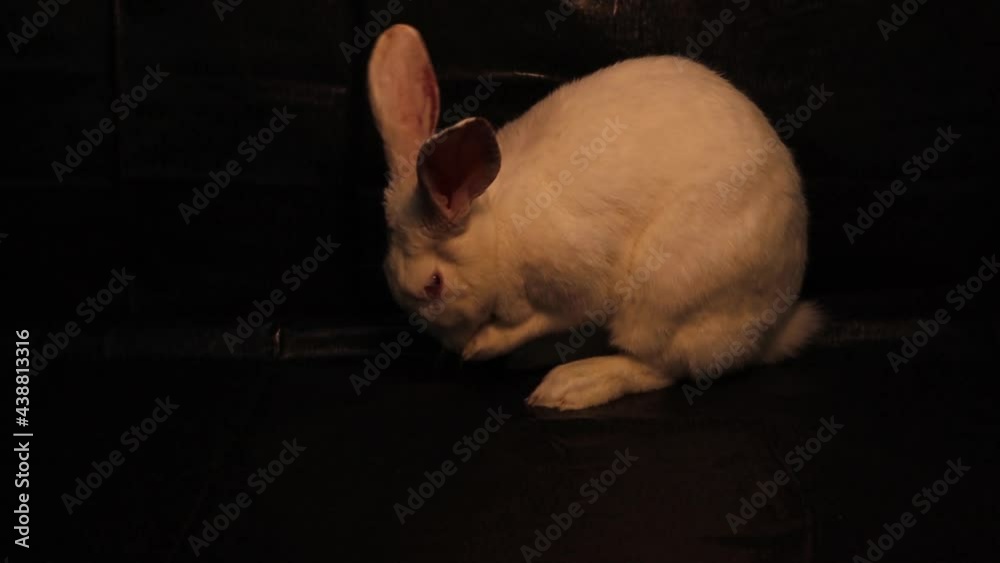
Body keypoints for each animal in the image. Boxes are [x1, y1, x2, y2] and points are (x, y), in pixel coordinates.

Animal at [367, 24, 823, 410]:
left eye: (434, 284)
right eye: (388, 274)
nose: (455, 346)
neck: (496, 231)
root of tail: (771, 331)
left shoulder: (581, 283)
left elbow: (545, 319)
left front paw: (485, 345)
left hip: (668, 300)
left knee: (663, 364)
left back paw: (570, 384)